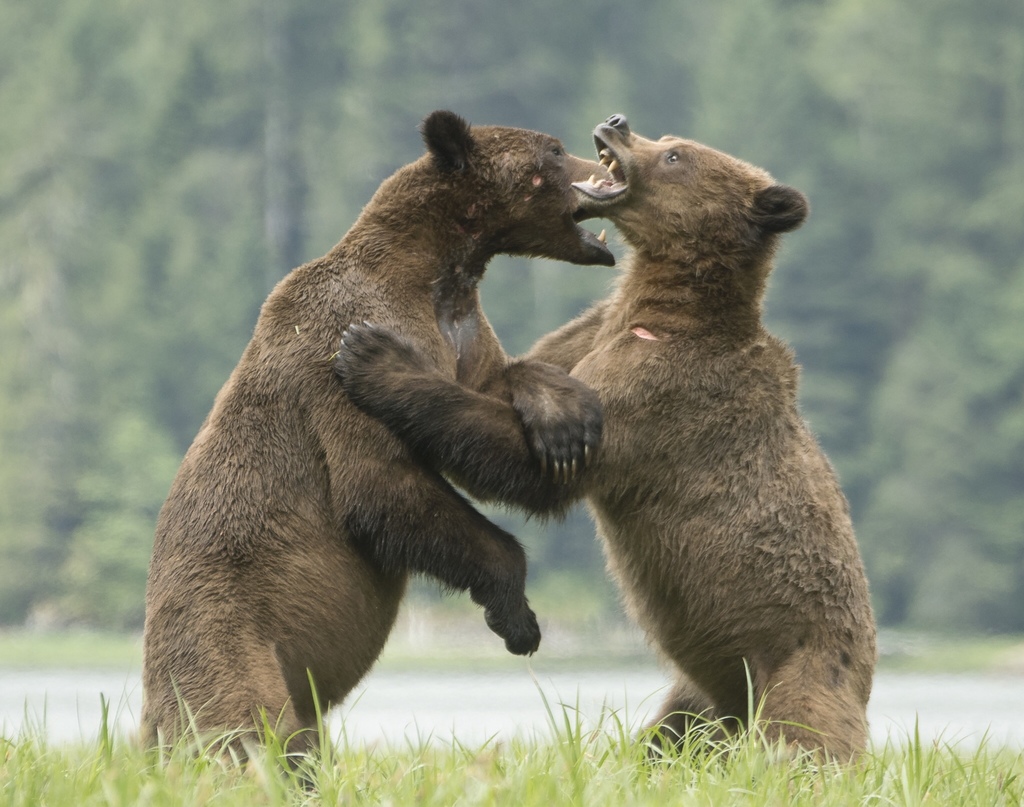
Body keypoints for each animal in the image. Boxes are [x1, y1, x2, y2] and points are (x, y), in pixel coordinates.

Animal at [141, 110, 613, 756]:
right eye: (556, 152)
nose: (605, 165)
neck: (438, 272)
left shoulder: (462, 333)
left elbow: (492, 386)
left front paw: (561, 416)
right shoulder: (340, 348)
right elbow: (379, 487)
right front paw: (515, 615)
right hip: (224, 639)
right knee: (243, 733)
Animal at [333, 114, 878, 761]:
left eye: (675, 155)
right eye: (666, 140)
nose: (617, 123)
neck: (657, 309)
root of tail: (866, 675)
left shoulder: (660, 399)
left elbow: (532, 465)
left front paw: (375, 354)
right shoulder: (595, 334)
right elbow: (528, 369)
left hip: (804, 673)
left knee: (800, 743)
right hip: (701, 695)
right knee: (672, 736)